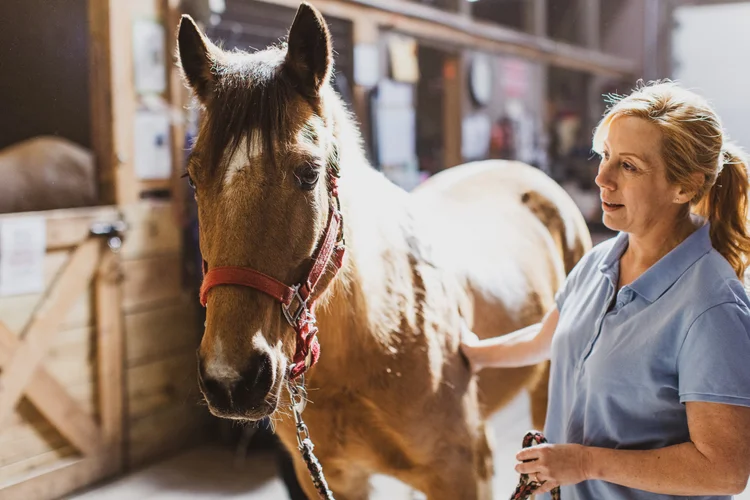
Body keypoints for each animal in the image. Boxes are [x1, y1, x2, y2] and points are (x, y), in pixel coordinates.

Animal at [176, 3, 591, 498]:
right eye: (192, 177)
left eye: (309, 173)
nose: (232, 381)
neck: (376, 332)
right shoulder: (334, 479)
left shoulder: (460, 474)